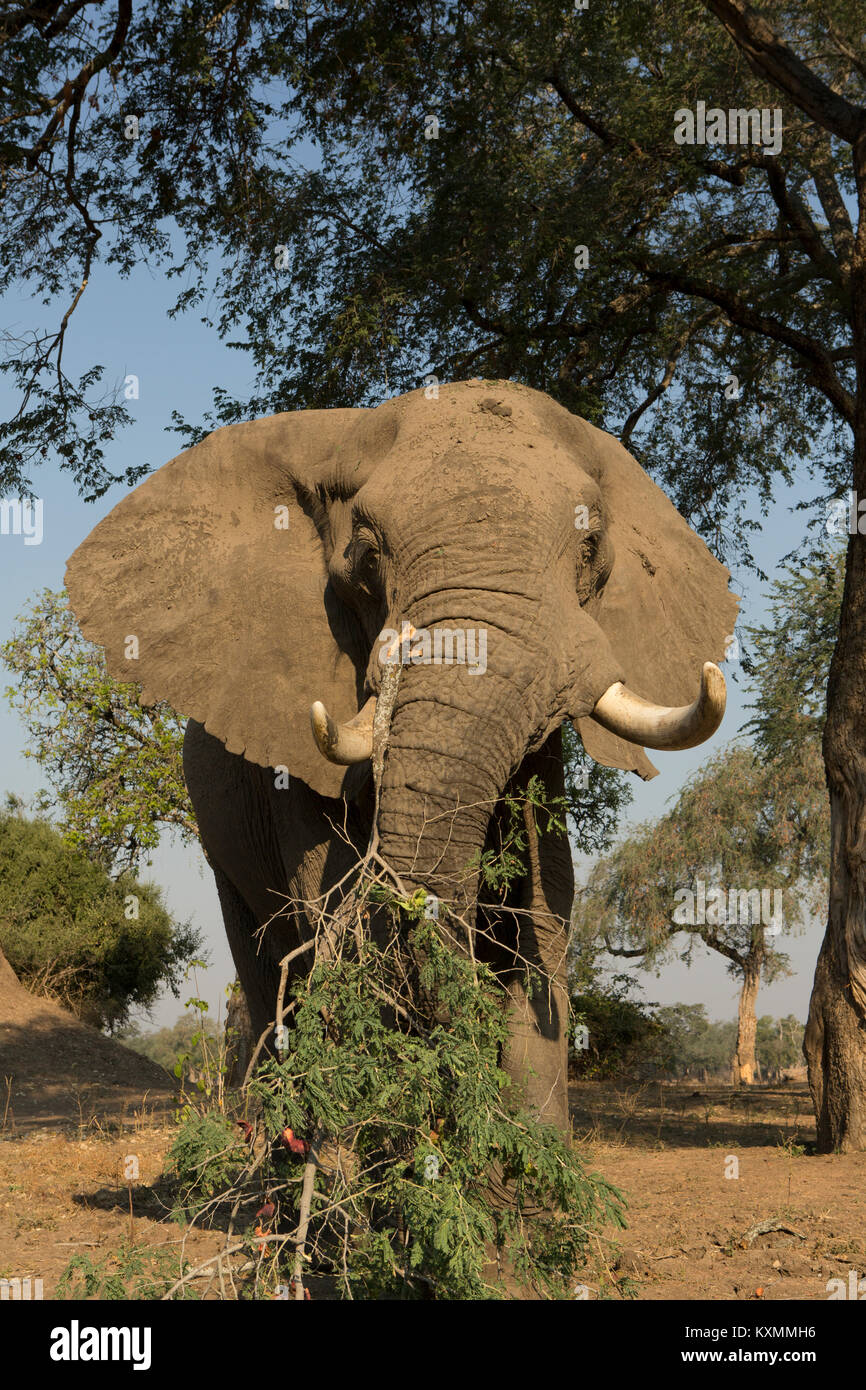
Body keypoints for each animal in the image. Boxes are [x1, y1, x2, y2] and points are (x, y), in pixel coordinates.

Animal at [65, 378, 738, 1133]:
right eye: (364, 558)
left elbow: (542, 904)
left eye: (592, 547)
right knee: (264, 962)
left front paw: (529, 1156)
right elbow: (337, 906)